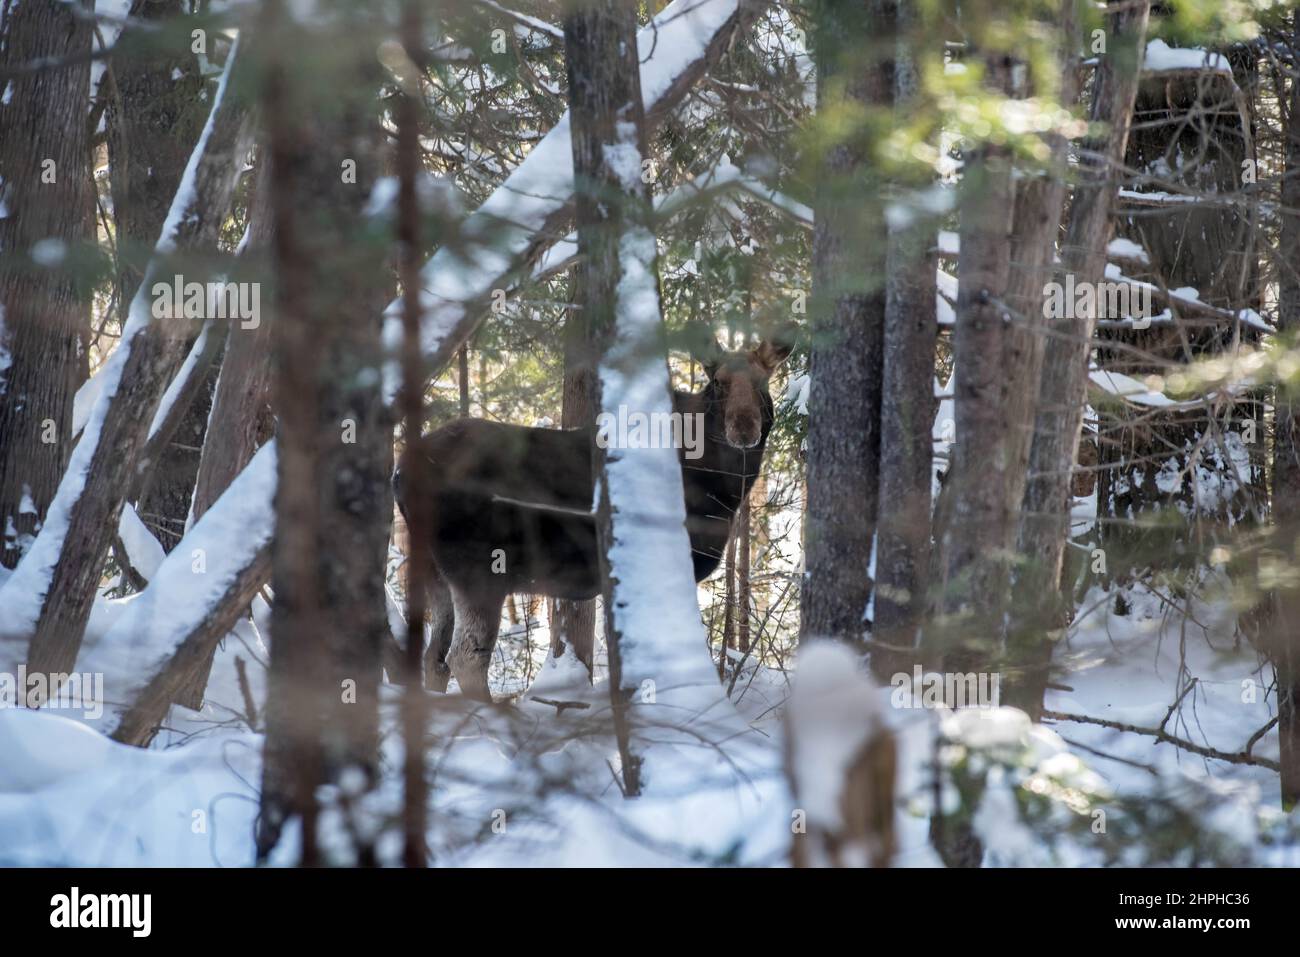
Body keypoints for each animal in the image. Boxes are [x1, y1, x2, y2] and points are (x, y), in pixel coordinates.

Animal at [393, 328, 795, 701]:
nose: (743, 427)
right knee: (465, 657)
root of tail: (399, 473)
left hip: (433, 571)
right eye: (717, 381)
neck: (724, 489)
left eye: (763, 381)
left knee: (435, 657)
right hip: (479, 570)